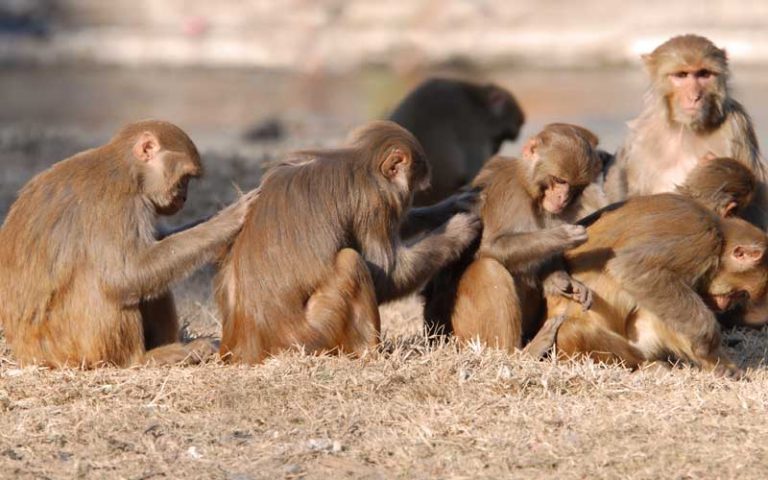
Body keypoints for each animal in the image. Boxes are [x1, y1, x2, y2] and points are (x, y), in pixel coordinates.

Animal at [0, 120, 257, 368]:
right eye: (184, 180)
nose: (184, 198)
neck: (127, 170)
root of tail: (27, 353)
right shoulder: (117, 204)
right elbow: (123, 275)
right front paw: (229, 220)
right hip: (70, 345)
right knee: (105, 284)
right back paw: (140, 358)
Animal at [215, 121, 481, 364]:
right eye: (414, 188)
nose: (410, 198)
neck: (359, 161)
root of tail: (245, 346)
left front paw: (449, 207)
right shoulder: (375, 202)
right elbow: (388, 276)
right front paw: (458, 231)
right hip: (312, 335)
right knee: (350, 261)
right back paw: (371, 353)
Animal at [422, 123, 604, 355]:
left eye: (574, 187)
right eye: (559, 180)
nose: (563, 199)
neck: (529, 191)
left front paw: (563, 280)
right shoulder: (509, 194)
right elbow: (488, 247)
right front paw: (561, 237)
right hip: (463, 332)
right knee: (488, 269)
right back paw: (523, 352)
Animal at [547, 194, 768, 378]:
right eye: (741, 294)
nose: (726, 306)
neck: (719, 234)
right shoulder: (698, 239)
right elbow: (632, 268)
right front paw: (711, 345)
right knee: (573, 330)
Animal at [606, 34, 768, 229]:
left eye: (704, 74)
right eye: (682, 75)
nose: (695, 97)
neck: (684, 128)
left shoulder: (737, 127)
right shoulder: (640, 139)